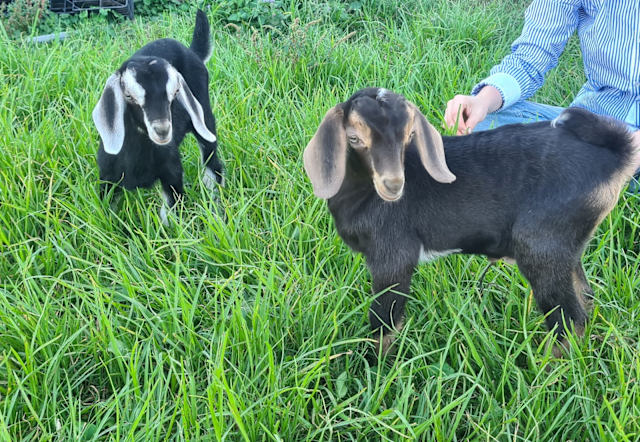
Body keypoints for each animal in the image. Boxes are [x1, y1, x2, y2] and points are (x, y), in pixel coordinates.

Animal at [92, 10, 223, 224]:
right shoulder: (108, 176)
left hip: (204, 117)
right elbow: (107, 210)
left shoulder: (172, 173)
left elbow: (170, 214)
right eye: (128, 95)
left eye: (175, 92)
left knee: (211, 155)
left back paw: (214, 193)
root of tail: (192, 52)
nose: (162, 130)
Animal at [304, 87, 640, 356]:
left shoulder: (392, 258)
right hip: (565, 245)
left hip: (541, 245)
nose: (394, 185)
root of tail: (616, 156)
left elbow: (384, 324)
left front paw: (377, 371)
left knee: (571, 320)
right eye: (353, 137)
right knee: (585, 294)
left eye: (409, 136)